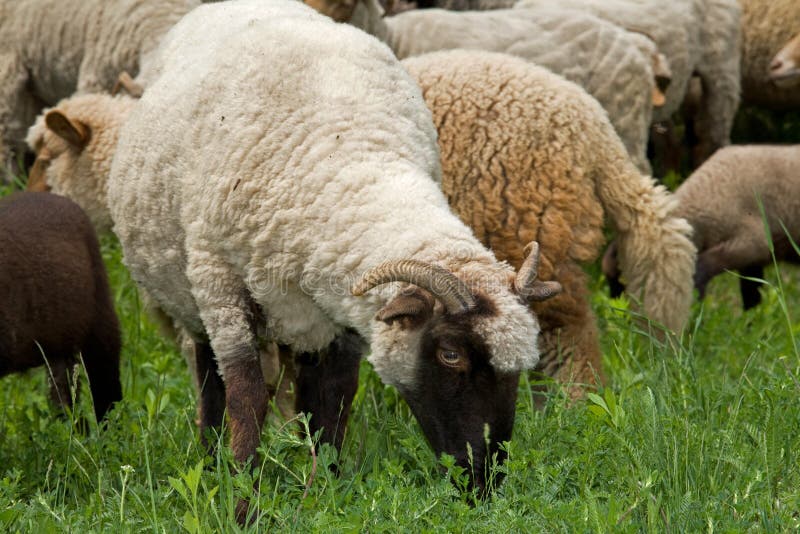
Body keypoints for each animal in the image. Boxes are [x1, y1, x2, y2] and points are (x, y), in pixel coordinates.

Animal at [26, 0, 563, 514]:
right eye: (450, 354)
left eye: (522, 368)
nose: (484, 483)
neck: (345, 158)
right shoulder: (221, 286)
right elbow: (246, 398)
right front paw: (242, 501)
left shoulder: (344, 320)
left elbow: (333, 403)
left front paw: (319, 492)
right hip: (190, 295)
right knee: (208, 376)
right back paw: (209, 455)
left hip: (301, 327)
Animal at [603, 145, 800, 310]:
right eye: (611, 283)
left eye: (624, 282)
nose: (618, 315)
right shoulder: (752, 258)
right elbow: (752, 295)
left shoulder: (753, 243)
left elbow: (701, 269)